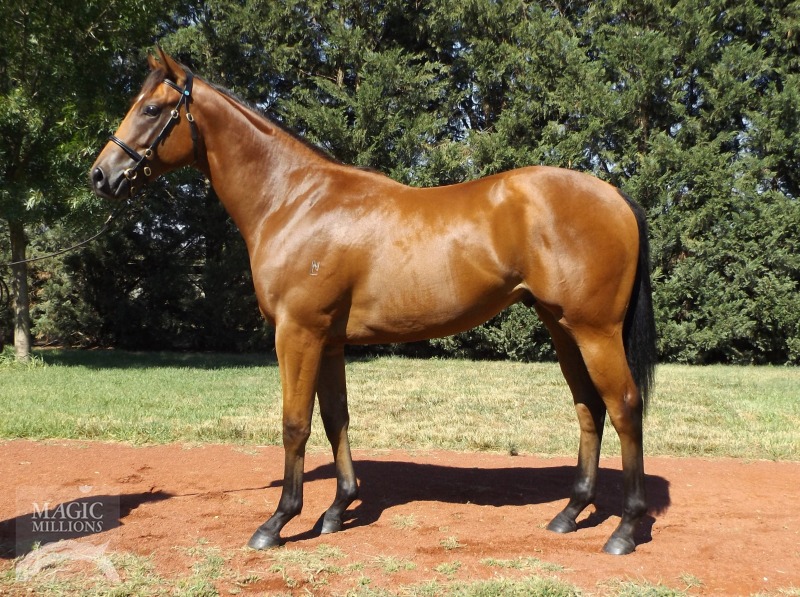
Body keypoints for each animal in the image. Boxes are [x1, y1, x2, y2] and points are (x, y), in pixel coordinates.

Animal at [91, 48, 657, 555]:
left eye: (151, 109)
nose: (100, 174)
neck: (295, 200)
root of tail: (615, 196)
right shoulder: (328, 340)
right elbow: (335, 418)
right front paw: (337, 509)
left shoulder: (297, 333)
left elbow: (295, 424)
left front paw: (278, 522)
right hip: (562, 327)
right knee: (589, 408)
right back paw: (569, 513)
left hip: (595, 331)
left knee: (625, 408)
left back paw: (625, 530)